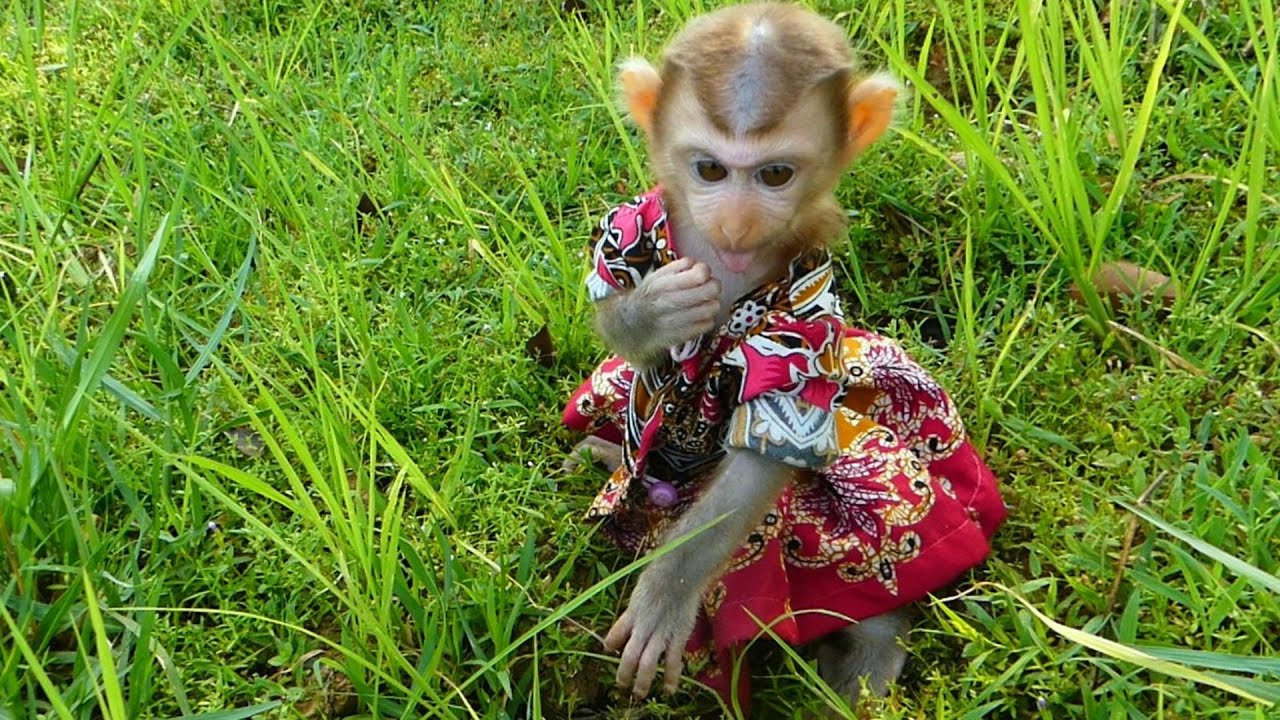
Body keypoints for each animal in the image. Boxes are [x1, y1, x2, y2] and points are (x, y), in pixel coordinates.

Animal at [561, 2, 1006, 712]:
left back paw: (874, 647)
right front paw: (654, 311)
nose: (737, 223)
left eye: (775, 175)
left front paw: (666, 593)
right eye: (710, 170)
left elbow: (766, 450)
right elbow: (612, 312)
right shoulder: (628, 220)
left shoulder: (809, 311)